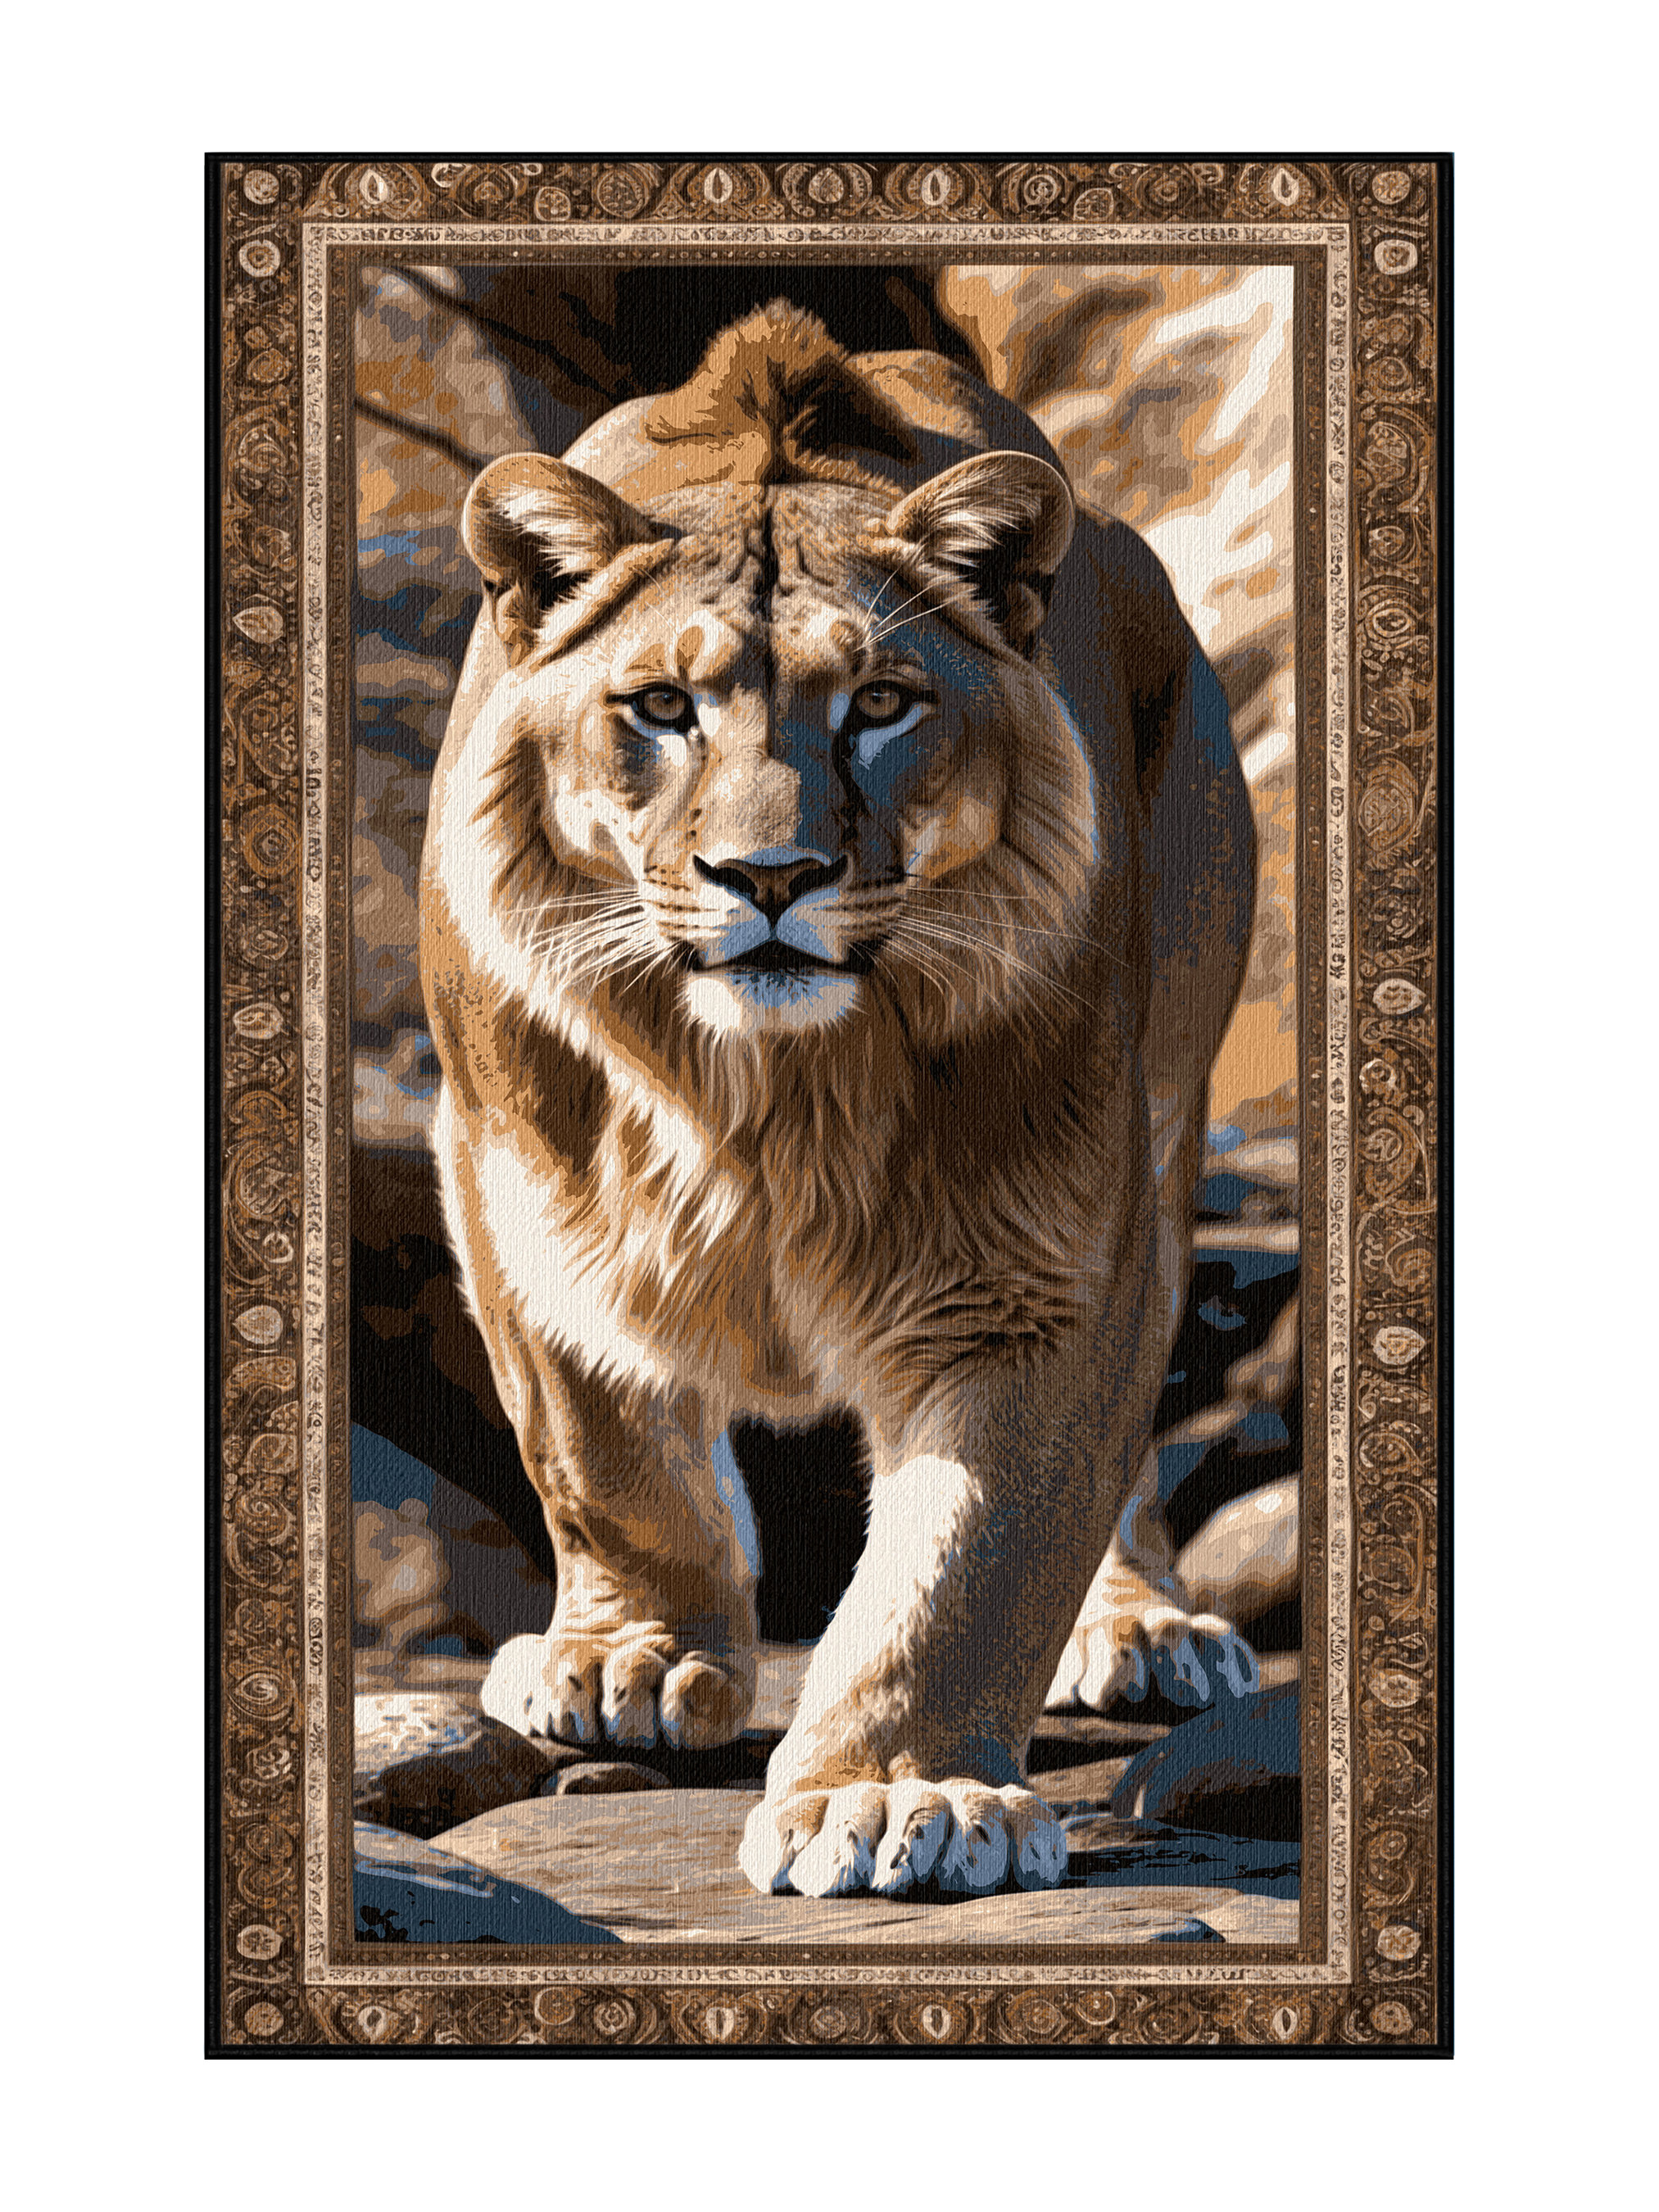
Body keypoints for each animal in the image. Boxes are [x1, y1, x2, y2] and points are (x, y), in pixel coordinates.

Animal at [418, 301, 1258, 1900]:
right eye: (661, 708)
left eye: (878, 705)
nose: (771, 877)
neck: (766, 1090)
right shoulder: (512, 1183)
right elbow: (602, 1448)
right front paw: (630, 1659)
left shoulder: (1035, 1265)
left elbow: (970, 1554)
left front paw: (892, 1791)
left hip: (1168, 1106)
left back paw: (1139, 1626)